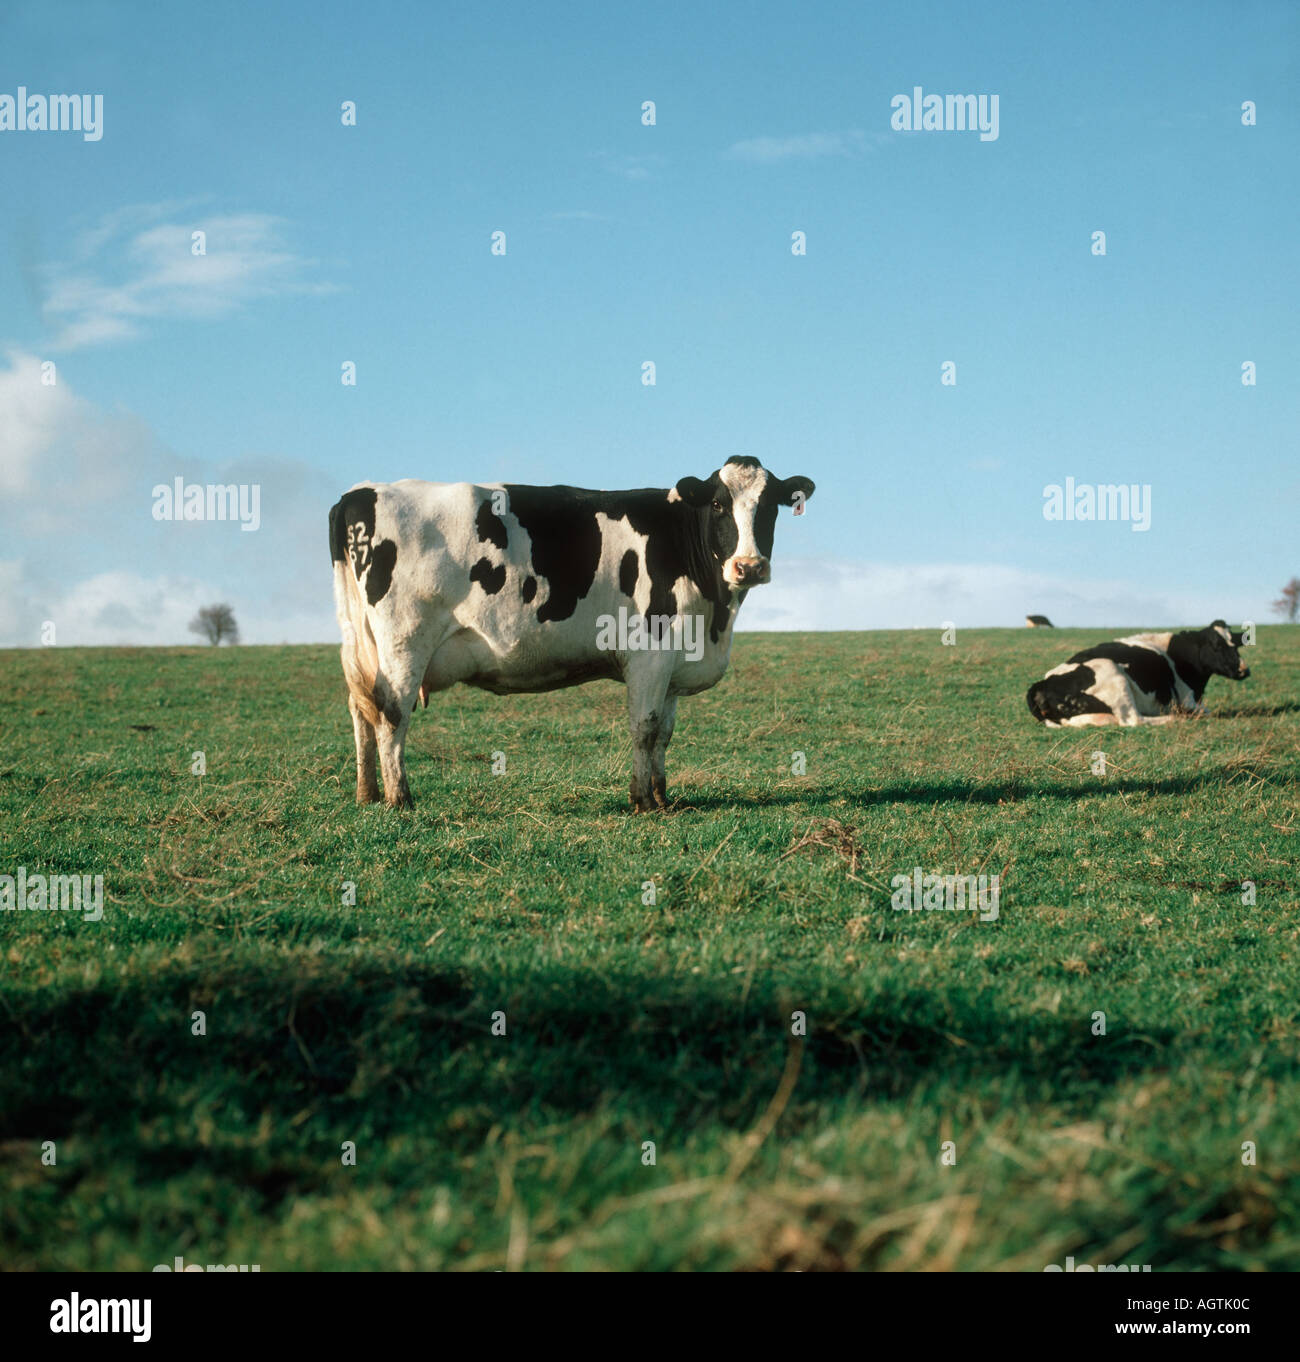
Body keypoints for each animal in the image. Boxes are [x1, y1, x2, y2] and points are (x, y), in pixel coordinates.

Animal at [329, 456, 815, 810]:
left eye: (770, 506)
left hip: (362, 642)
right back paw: (399, 799)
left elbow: (665, 731)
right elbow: (644, 726)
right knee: (391, 714)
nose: (749, 566)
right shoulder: (650, 653)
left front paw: (662, 796)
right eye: (717, 504)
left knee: (360, 708)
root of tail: (361, 492)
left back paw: (367, 793)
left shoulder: (673, 662)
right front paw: (643, 801)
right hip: (404, 642)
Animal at [1026, 621, 1249, 727]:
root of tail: (1040, 684)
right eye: (1216, 645)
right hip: (1112, 673)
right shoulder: (1187, 701)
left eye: (1236, 644)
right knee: (1134, 720)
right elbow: (1206, 712)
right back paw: (1173, 719)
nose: (1244, 670)